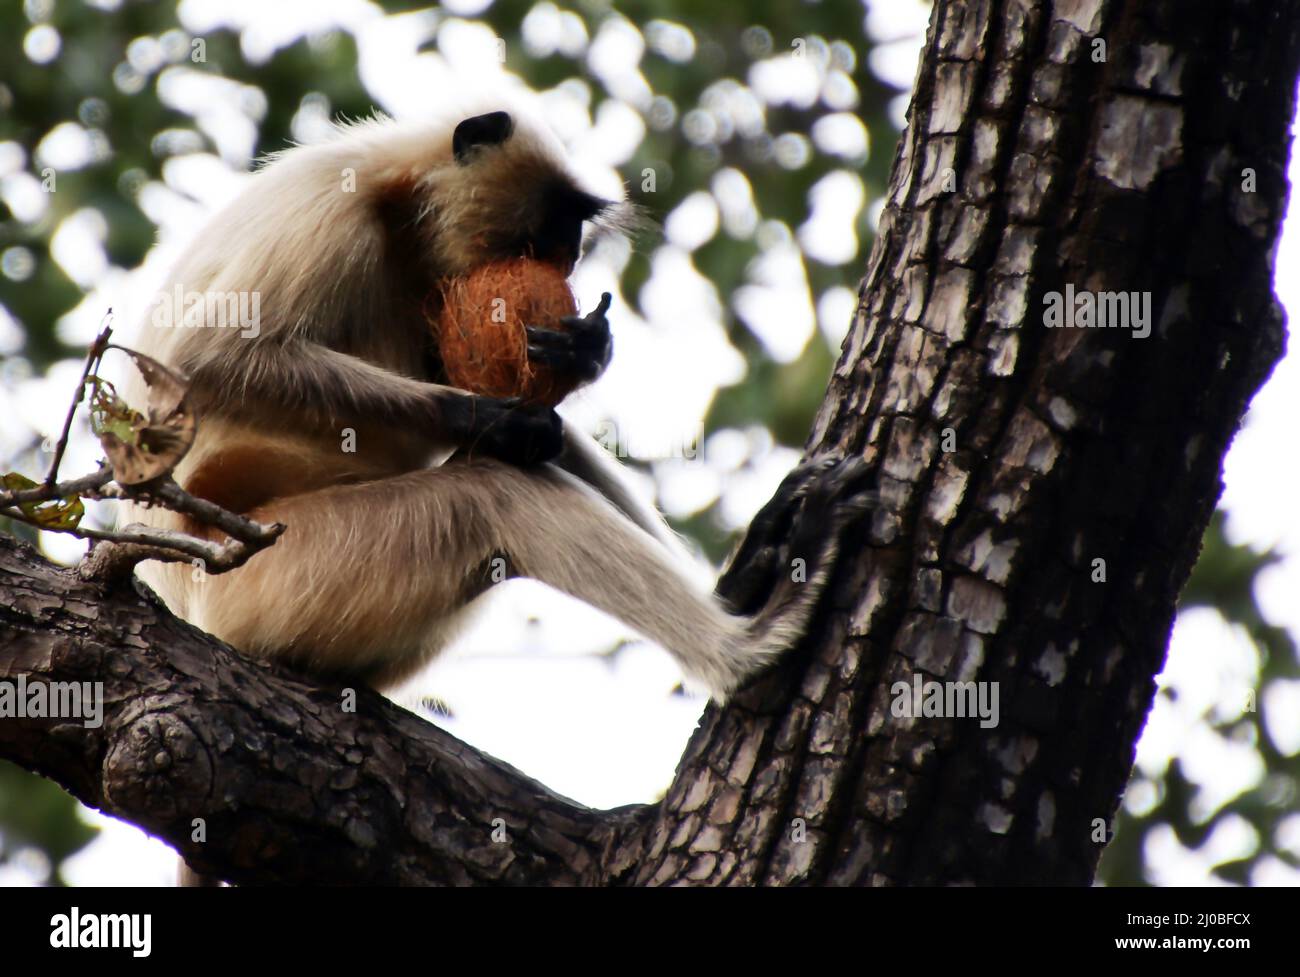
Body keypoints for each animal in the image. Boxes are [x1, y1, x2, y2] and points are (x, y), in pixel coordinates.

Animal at [119, 99, 866, 704]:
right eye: (557, 217)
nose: (571, 253)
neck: (396, 203)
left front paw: (582, 355)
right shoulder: (331, 211)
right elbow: (204, 361)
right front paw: (496, 418)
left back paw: (745, 582)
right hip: (273, 575)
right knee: (497, 494)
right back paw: (749, 647)